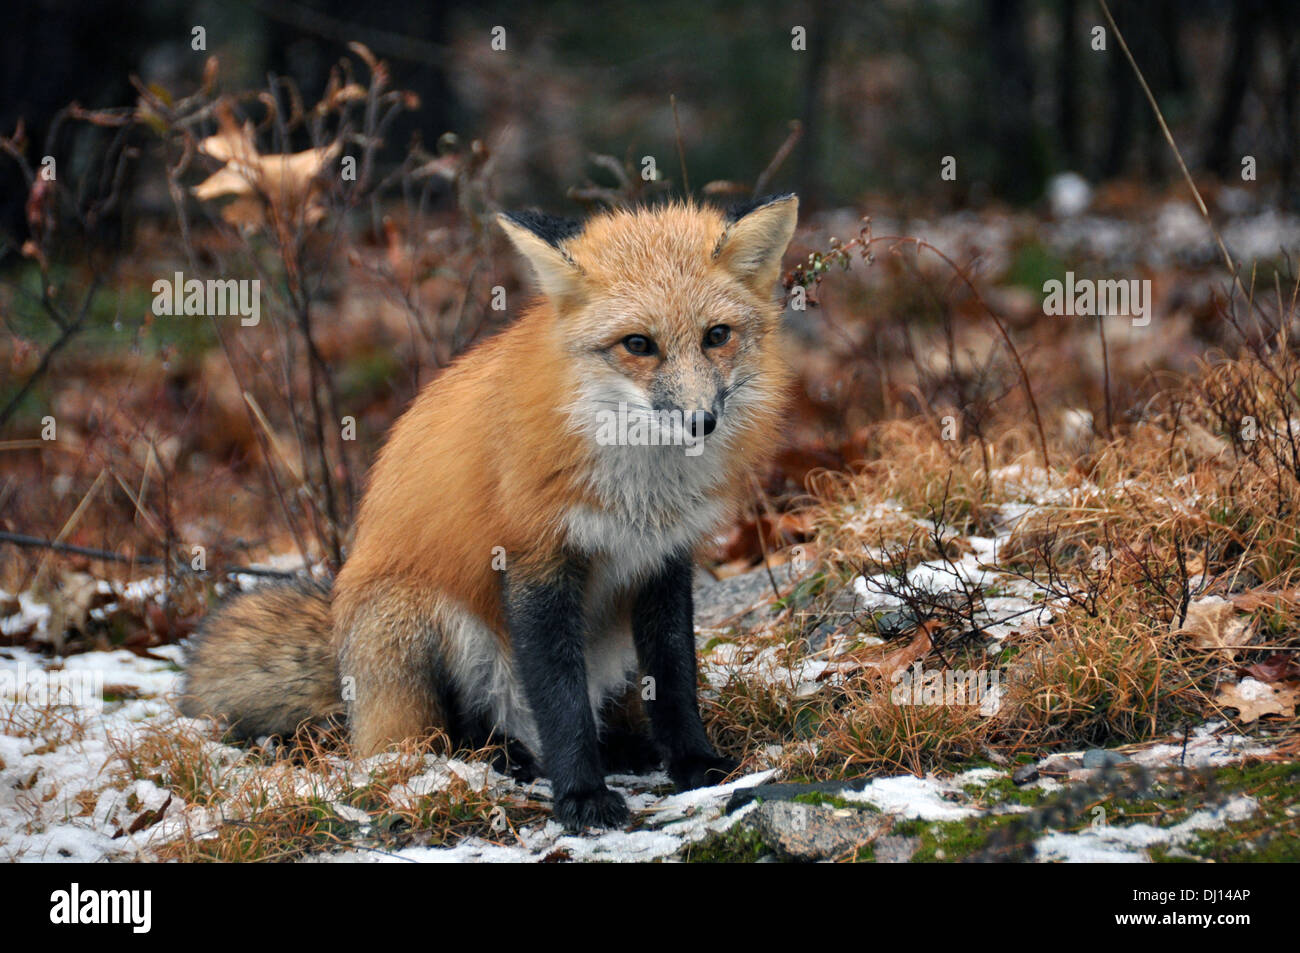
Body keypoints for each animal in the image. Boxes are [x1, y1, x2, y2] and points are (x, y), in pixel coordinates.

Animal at [181, 194, 798, 829]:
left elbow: (675, 680)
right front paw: (581, 795)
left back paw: (625, 748)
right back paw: (497, 760)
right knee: (444, 737)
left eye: (716, 336)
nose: (701, 421)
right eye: (638, 344)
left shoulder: (663, 560)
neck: (642, 492)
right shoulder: (534, 560)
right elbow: (560, 700)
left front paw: (695, 764)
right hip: (415, 624)